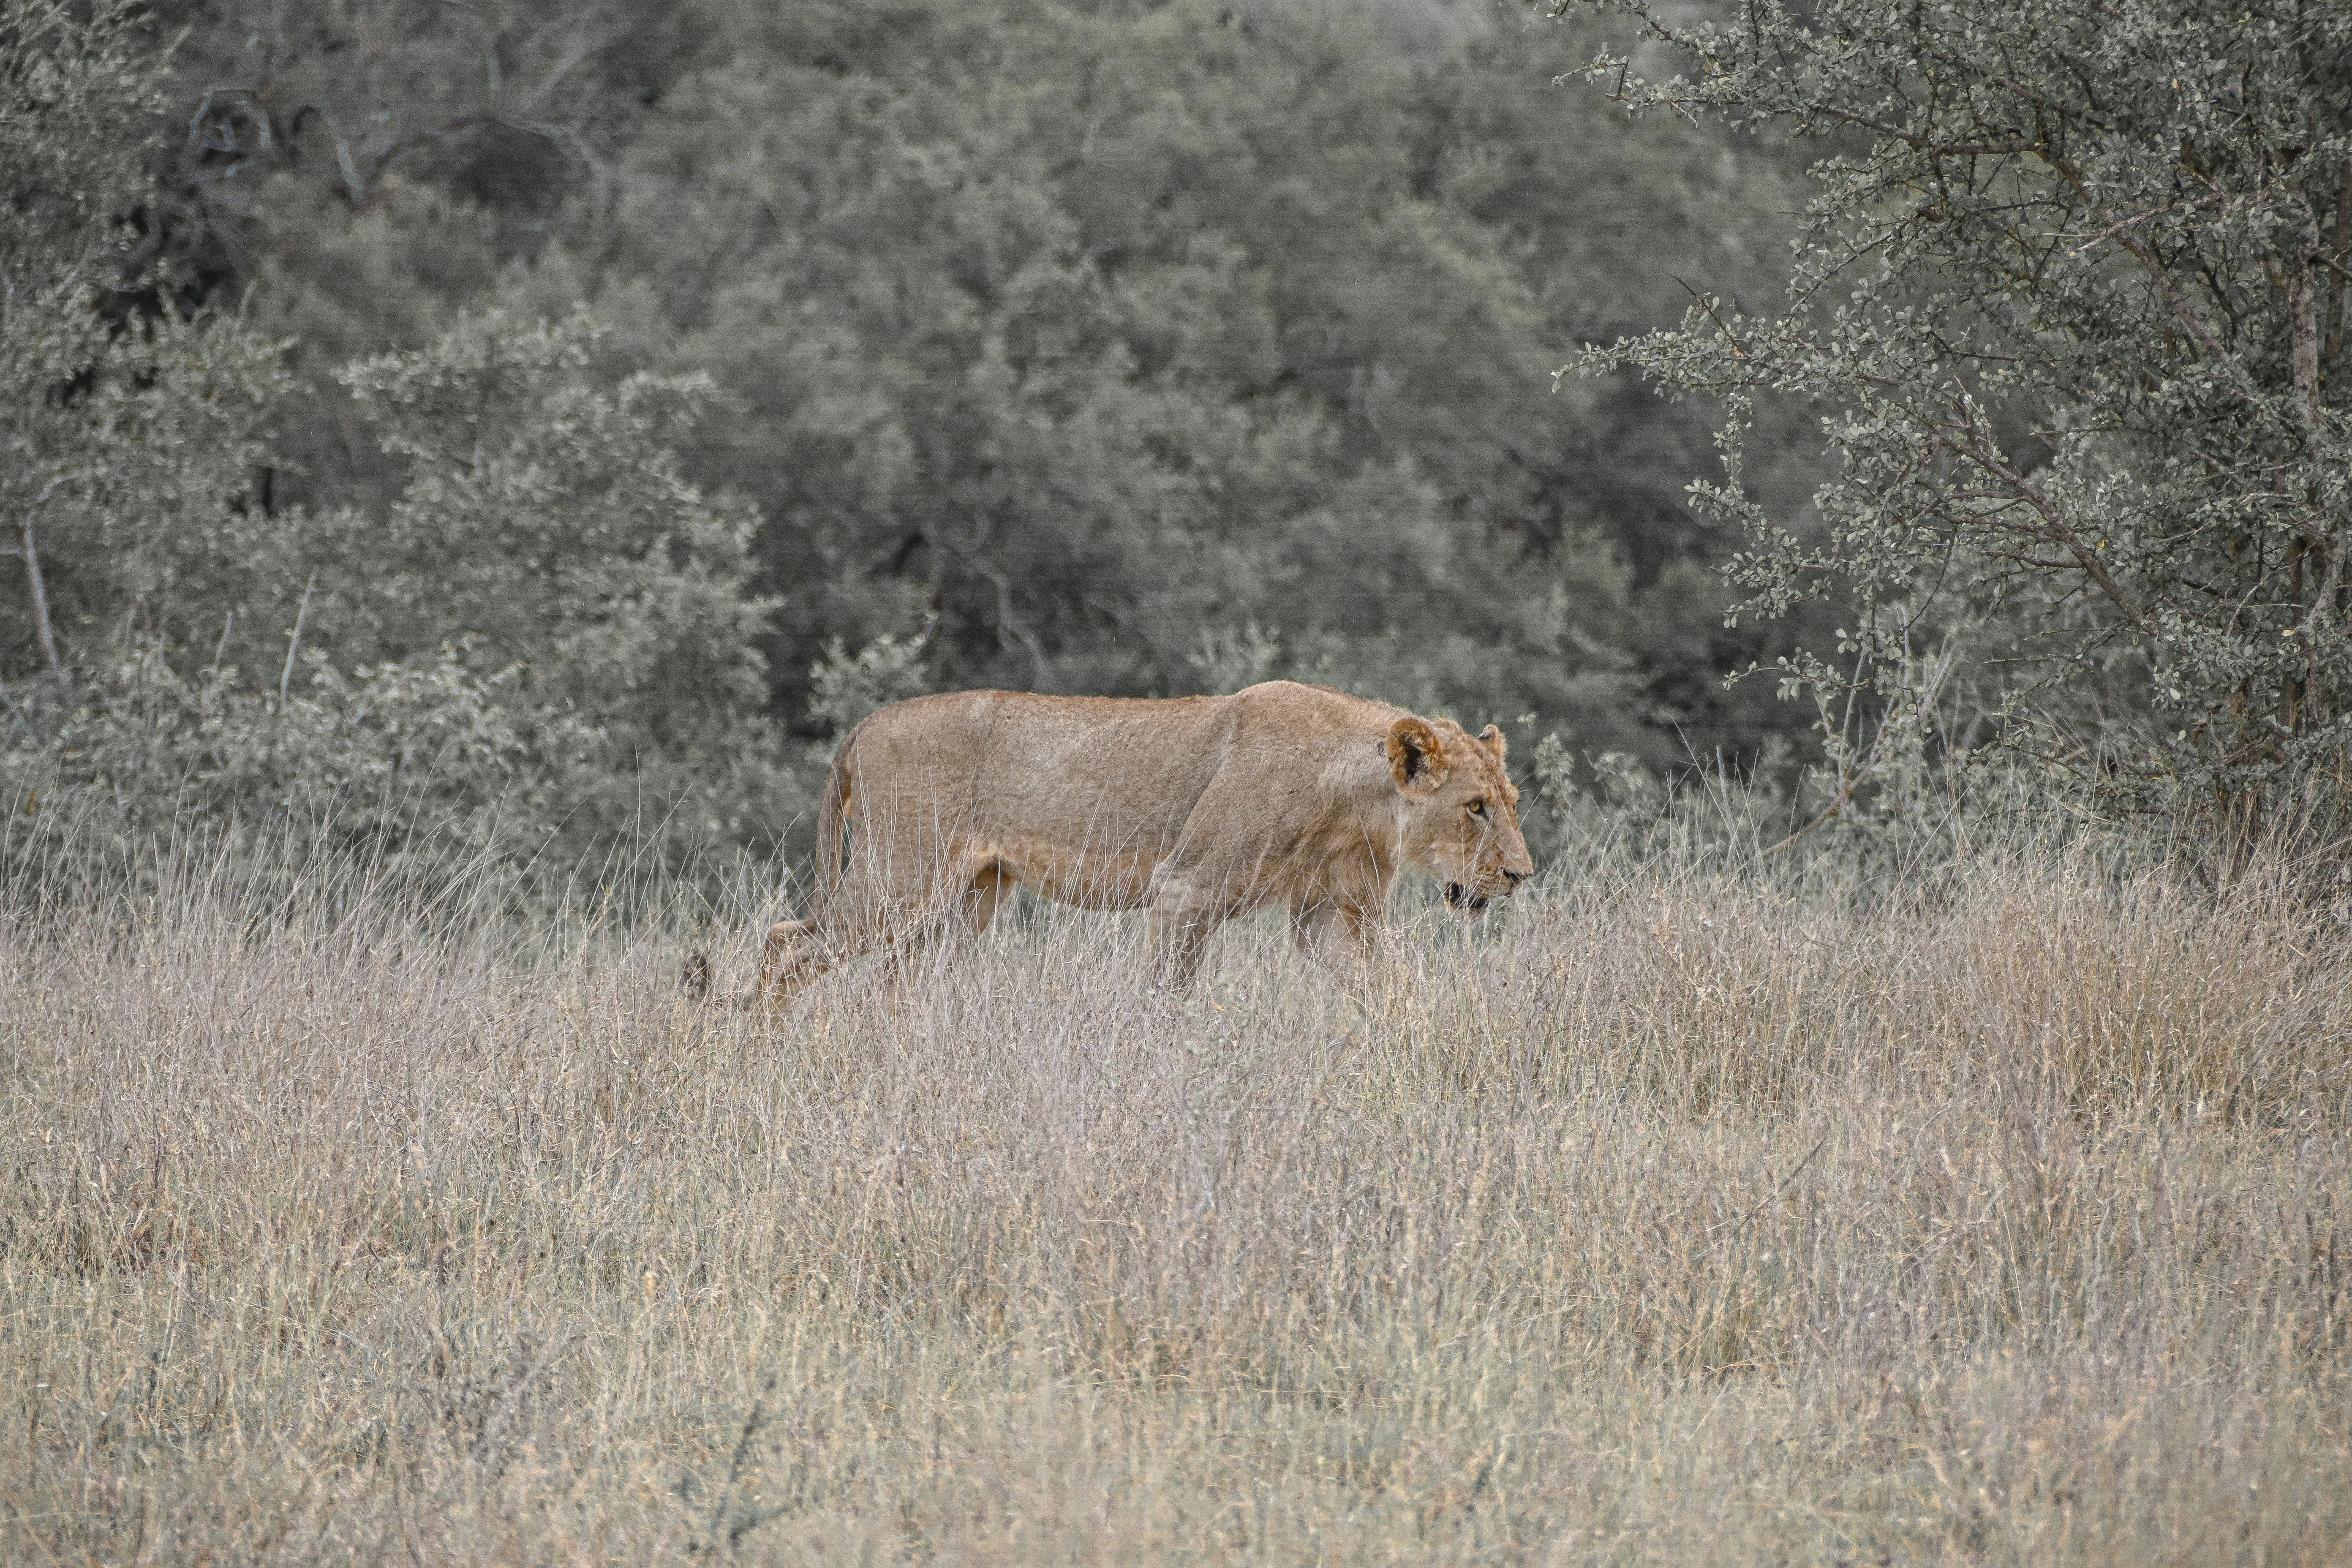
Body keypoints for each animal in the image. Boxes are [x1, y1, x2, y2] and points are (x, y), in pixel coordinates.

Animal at [744, 680, 1534, 1000]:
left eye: (1510, 804)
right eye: (1474, 808)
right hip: (900, 878)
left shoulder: (1331, 914)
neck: (1355, 802)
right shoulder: (1187, 889)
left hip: (969, 900)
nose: (1521, 876)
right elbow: (1163, 996)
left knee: (890, 982)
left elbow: (1397, 988)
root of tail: (868, 723)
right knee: (785, 943)